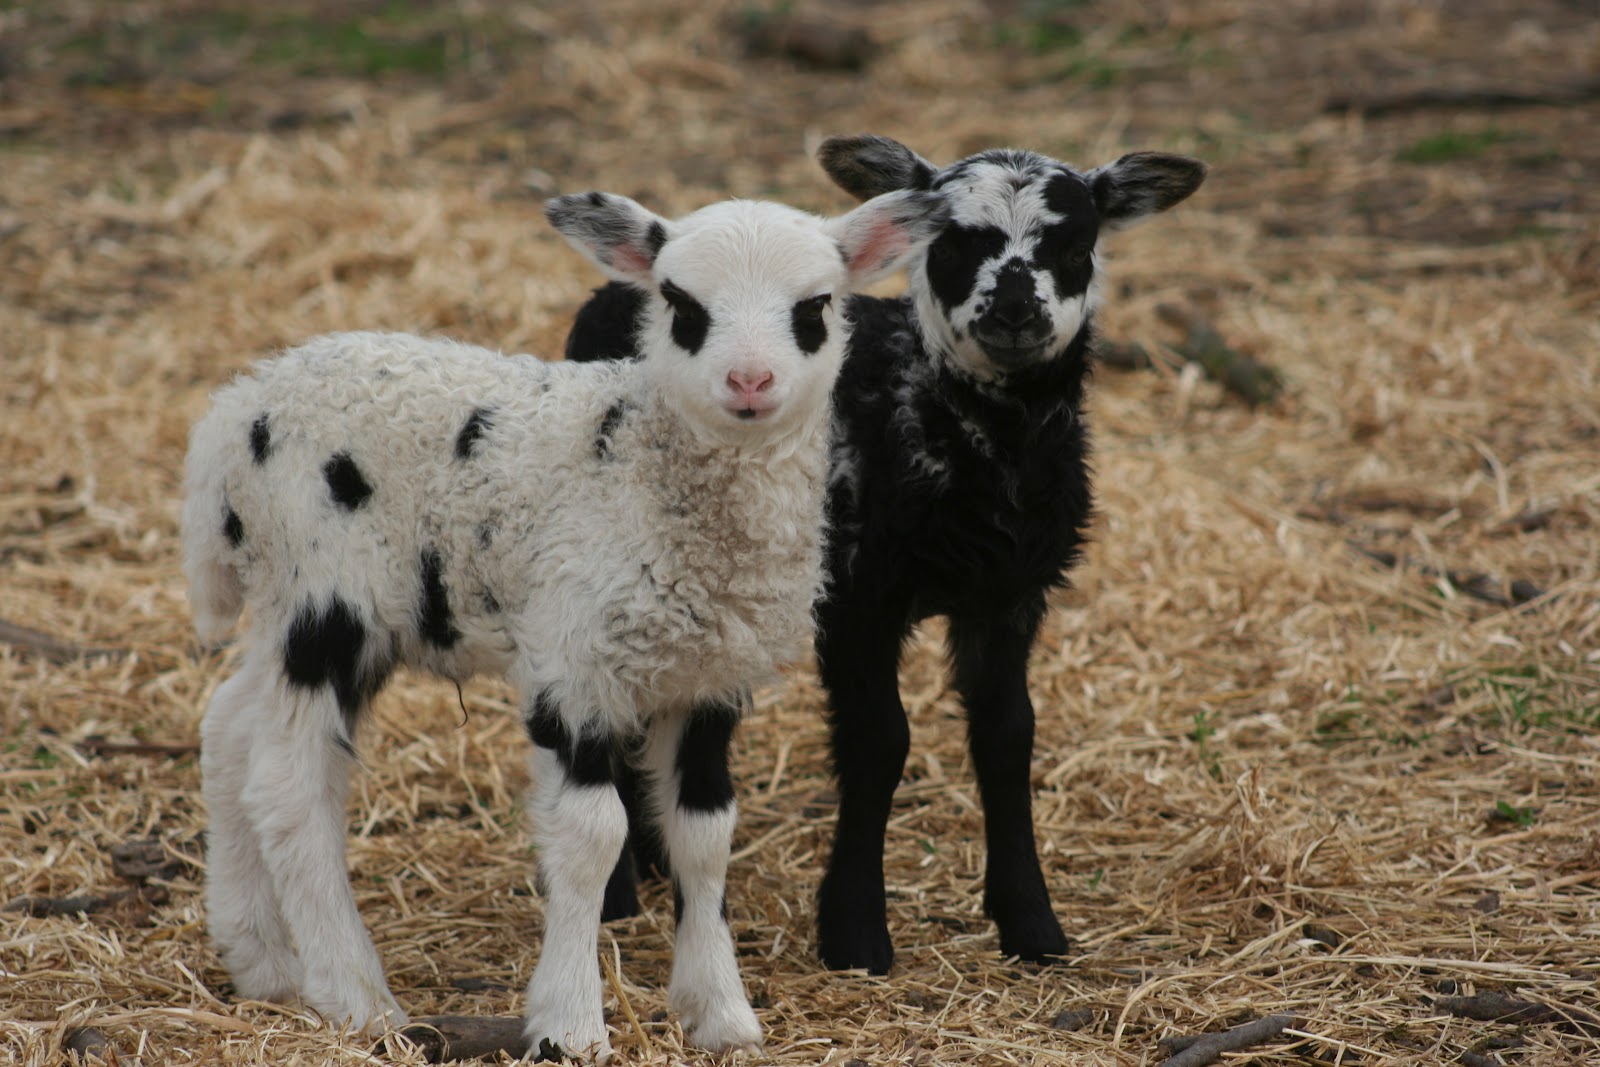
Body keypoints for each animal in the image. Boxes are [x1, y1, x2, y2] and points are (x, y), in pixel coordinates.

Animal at [182, 186, 949, 1061]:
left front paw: (721, 1013)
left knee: (230, 726)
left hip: (287, 601)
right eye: (680, 302)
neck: (650, 477)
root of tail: (232, 415)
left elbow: (705, 834)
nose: (749, 379)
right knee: (291, 782)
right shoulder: (576, 665)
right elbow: (593, 835)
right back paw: (356, 995)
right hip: (326, 595)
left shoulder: (709, 677)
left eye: (815, 304)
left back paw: (262, 960)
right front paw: (572, 1022)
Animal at [565, 136, 1206, 976]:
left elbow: (1008, 734)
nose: (1014, 309)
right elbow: (881, 740)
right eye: (952, 243)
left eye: (1076, 244)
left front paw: (1031, 924)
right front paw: (857, 932)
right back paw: (615, 892)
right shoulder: (859, 595)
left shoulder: (1009, 595)